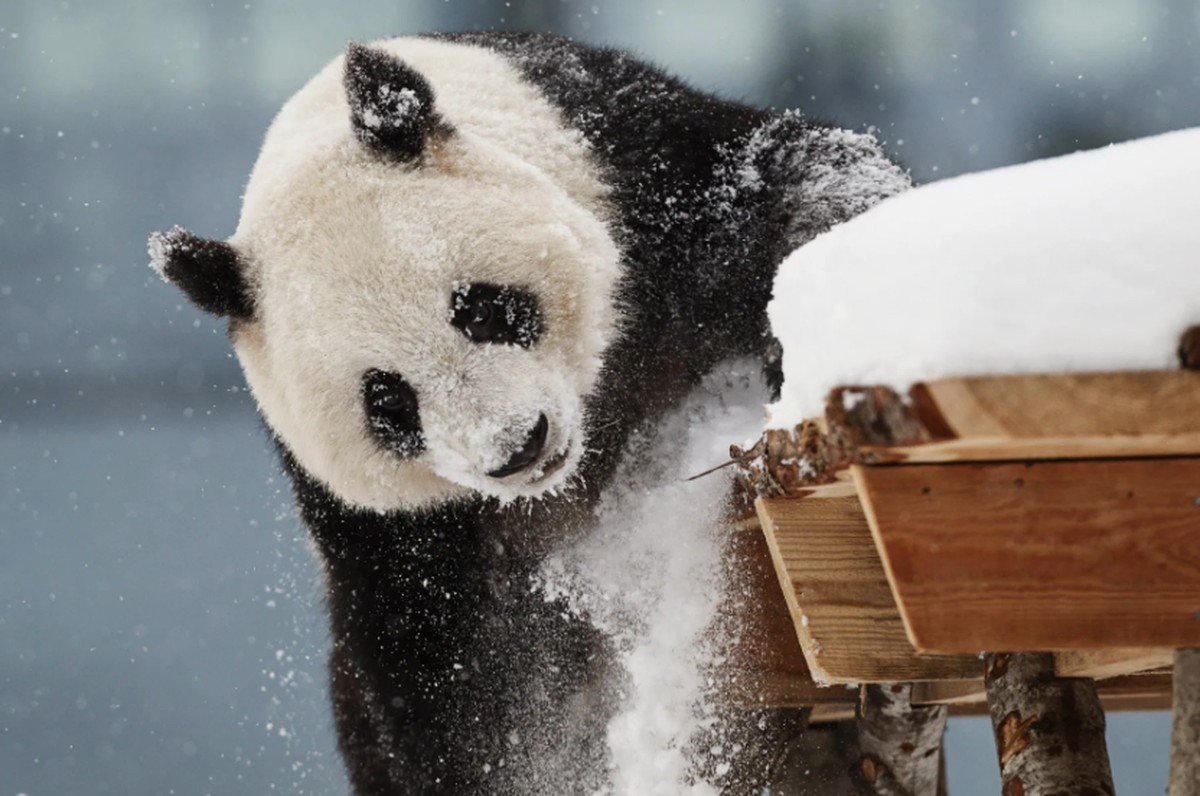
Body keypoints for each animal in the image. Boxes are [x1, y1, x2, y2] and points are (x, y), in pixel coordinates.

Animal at [149, 32, 908, 795]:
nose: (517, 448)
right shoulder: (380, 527)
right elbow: (439, 674)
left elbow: (791, 180)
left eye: (480, 309)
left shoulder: (642, 179)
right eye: (388, 402)